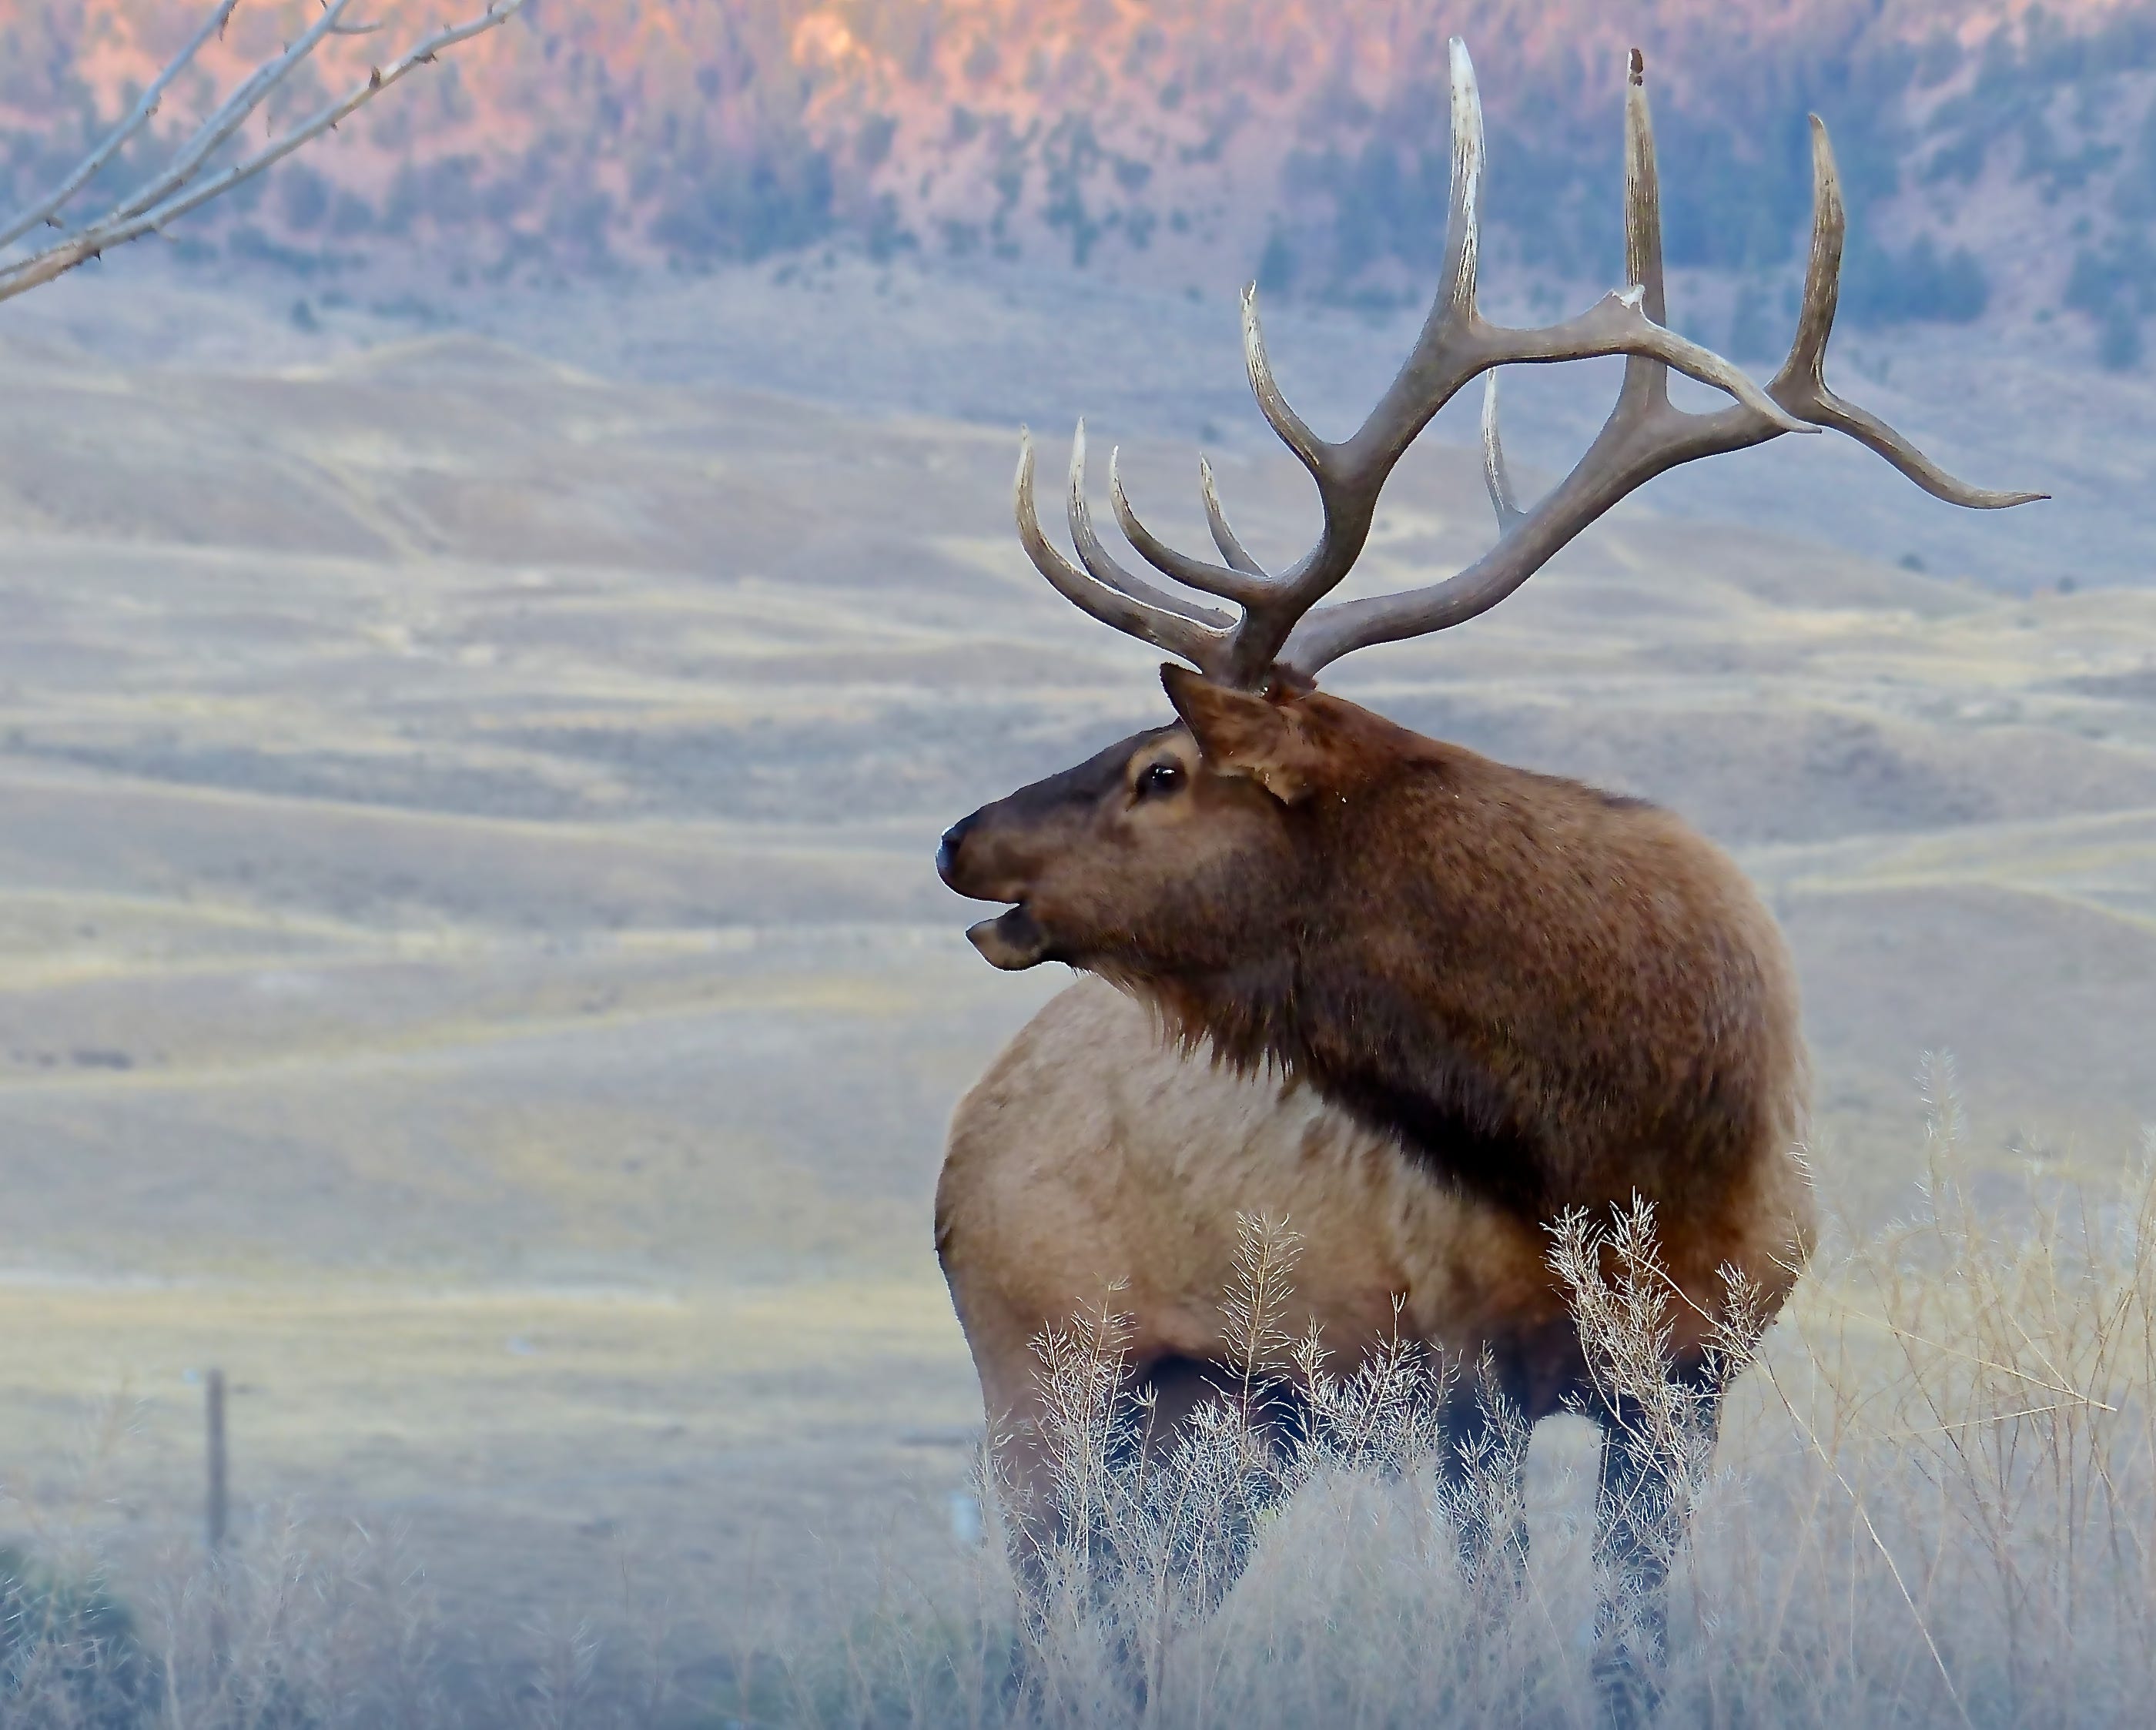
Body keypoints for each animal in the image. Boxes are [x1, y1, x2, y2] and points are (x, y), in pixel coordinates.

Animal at [933, 40, 2041, 1715]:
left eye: (1161, 769)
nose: (958, 838)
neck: (1637, 1131)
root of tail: (956, 1152)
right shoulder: (1458, 1380)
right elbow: (1497, 1637)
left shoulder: (1690, 1379)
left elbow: (1627, 1650)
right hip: (1045, 1366)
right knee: (1047, 1630)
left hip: (1218, 1418)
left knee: (1132, 1624)